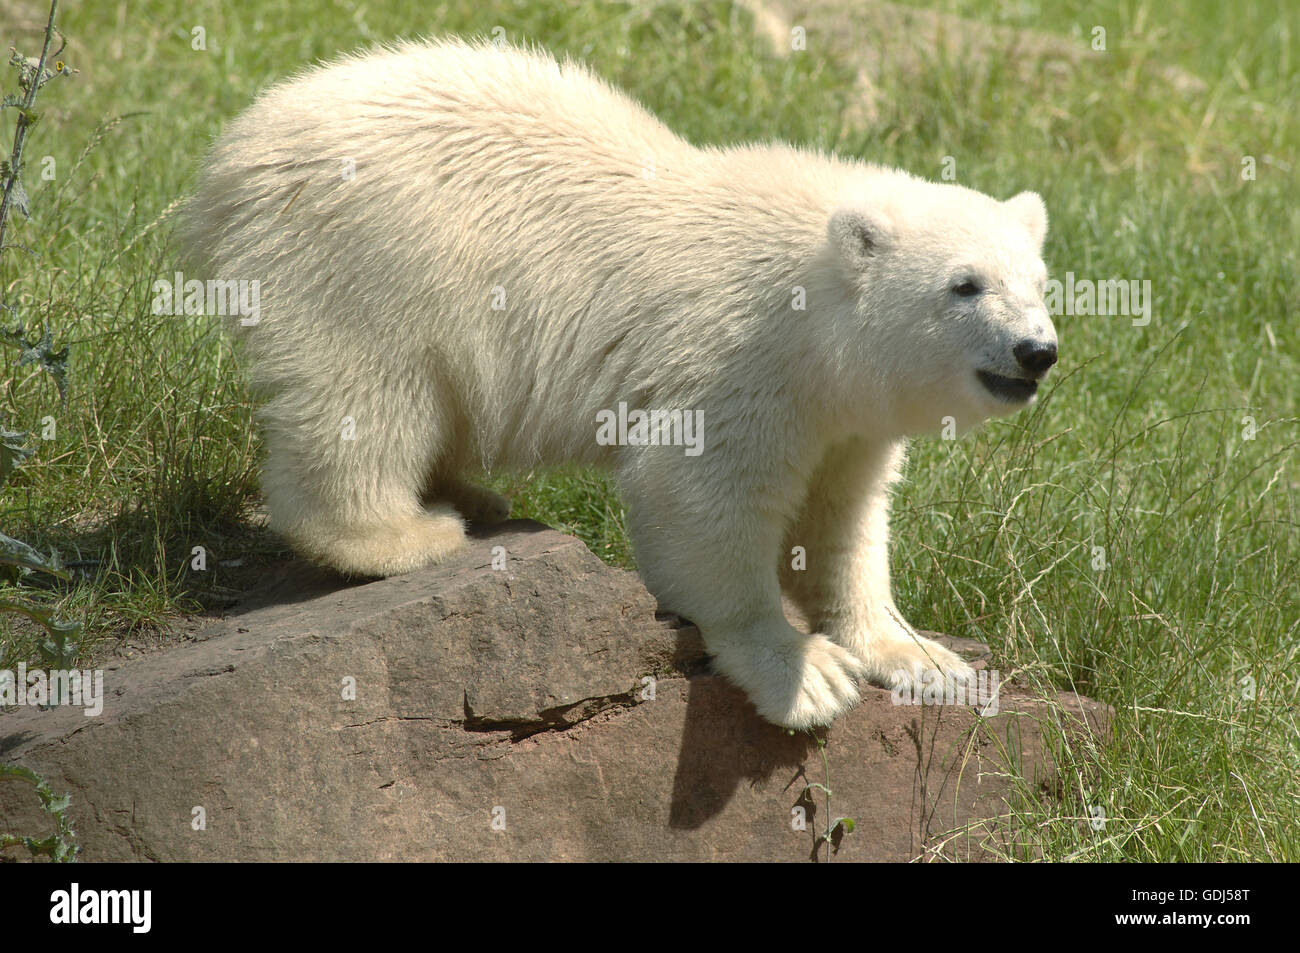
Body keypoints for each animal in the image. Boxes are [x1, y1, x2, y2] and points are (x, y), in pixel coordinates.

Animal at [180, 38, 1058, 730]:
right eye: (965, 285)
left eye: (1039, 281)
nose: (1036, 351)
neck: (811, 304)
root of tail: (231, 152)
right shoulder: (737, 358)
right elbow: (700, 497)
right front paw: (804, 674)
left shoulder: (844, 416)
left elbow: (841, 516)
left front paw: (920, 656)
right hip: (371, 252)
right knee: (369, 392)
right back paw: (400, 532)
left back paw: (471, 495)